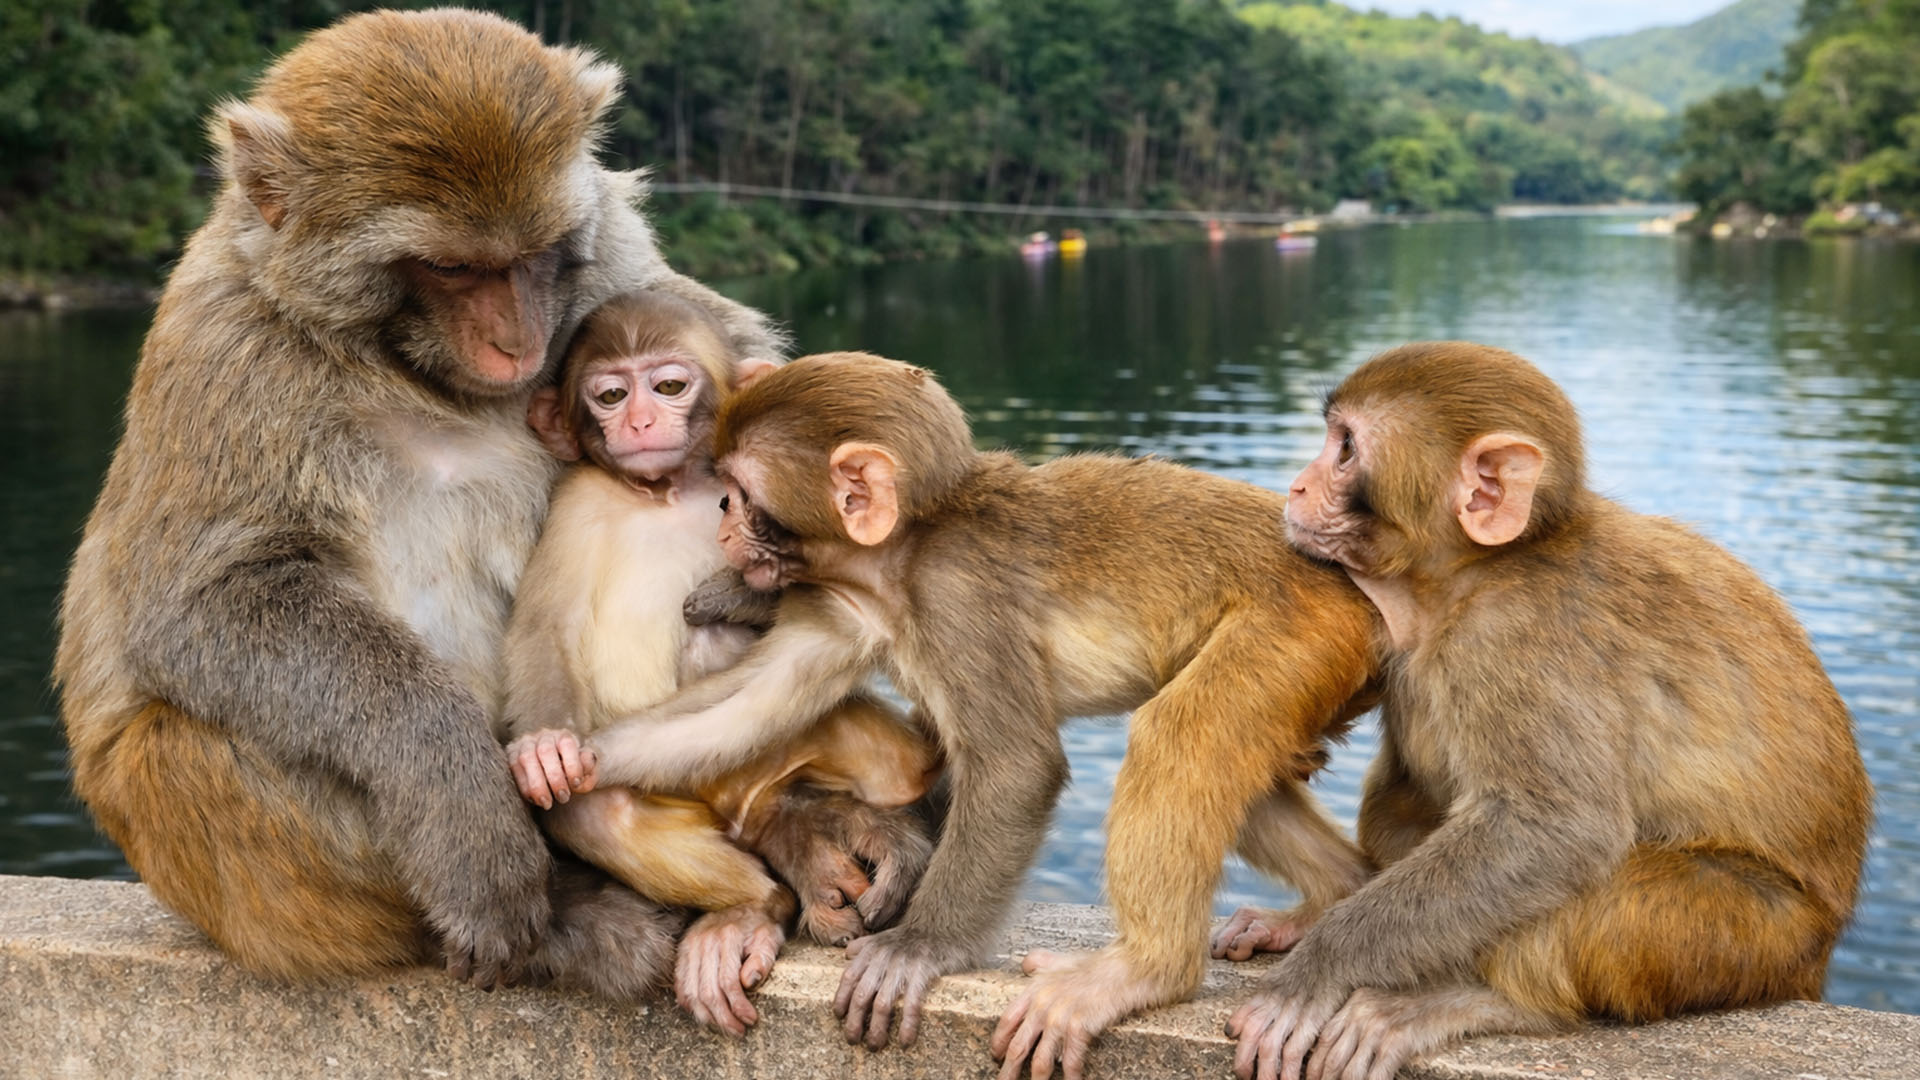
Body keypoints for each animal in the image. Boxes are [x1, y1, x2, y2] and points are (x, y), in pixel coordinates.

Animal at [53, 9, 795, 998]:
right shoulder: (222, 343)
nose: (518, 339)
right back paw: (567, 917)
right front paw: (467, 816)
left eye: (530, 259)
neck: (405, 365)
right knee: (188, 736)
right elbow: (202, 603)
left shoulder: (614, 254)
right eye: (451, 267)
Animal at [501, 292, 937, 1033]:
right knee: (595, 812)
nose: (641, 421)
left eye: (669, 386)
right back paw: (753, 905)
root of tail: (742, 806)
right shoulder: (575, 500)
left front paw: (739, 594)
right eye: (611, 394)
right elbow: (545, 625)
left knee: (902, 764)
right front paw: (544, 750)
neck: (668, 490)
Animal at [531, 351, 1384, 1077]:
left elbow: (1015, 765)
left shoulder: (957, 598)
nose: (722, 524)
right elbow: (751, 704)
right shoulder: (844, 604)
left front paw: (918, 949)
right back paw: (1332, 898)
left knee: (1184, 738)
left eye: (740, 493)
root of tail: (1354, 589)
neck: (901, 554)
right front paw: (562, 760)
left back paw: (1146, 971)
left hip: (1299, 629)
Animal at [1224, 341, 1872, 1080]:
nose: (1298, 486)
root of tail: (1814, 959)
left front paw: (1317, 969)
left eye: (1346, 449)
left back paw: (1488, 1002)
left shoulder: (1518, 638)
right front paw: (1316, 914)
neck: (1480, 572)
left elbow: (1553, 830)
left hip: (1754, 940)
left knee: (1610, 901)